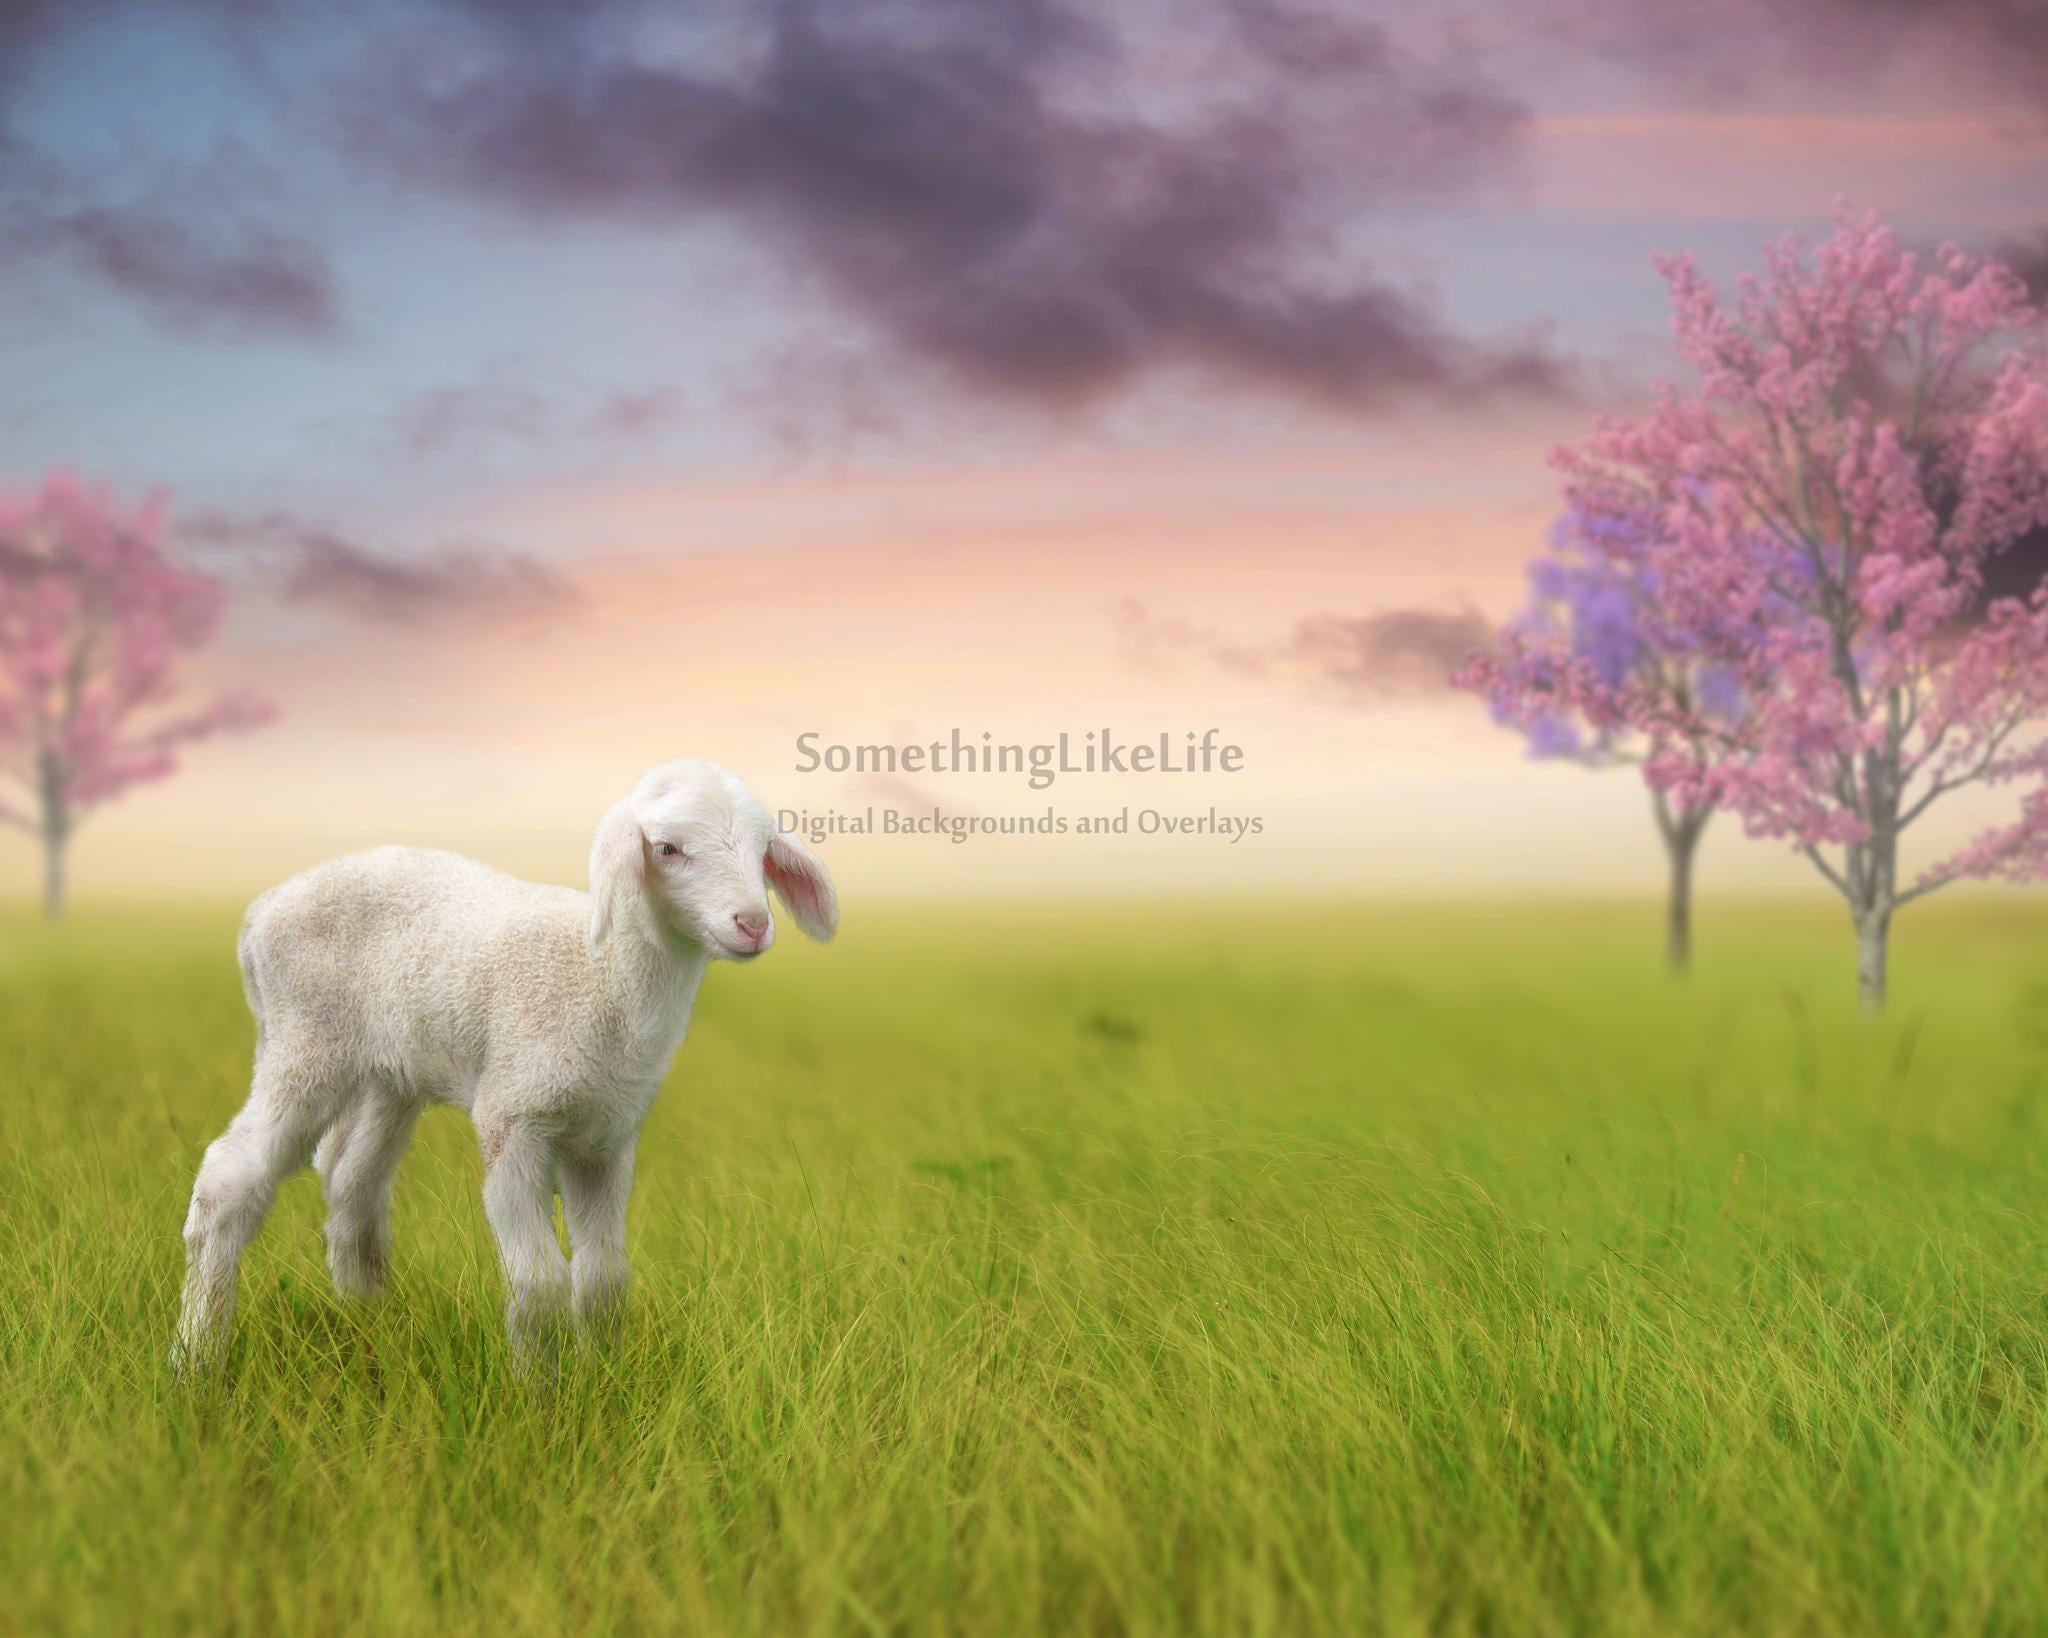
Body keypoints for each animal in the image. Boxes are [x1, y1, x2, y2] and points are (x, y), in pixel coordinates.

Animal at [172, 757, 837, 1373]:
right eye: (669, 848)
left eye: (762, 849)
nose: (752, 924)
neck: (601, 979)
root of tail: (260, 911)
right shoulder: (513, 1118)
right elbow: (540, 1283)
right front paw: (539, 1392)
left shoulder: (606, 1137)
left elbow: (604, 1281)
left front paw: (600, 1380)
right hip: (306, 1041)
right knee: (227, 1180)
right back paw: (196, 1356)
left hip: (391, 1069)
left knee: (351, 1178)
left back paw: (368, 1318)